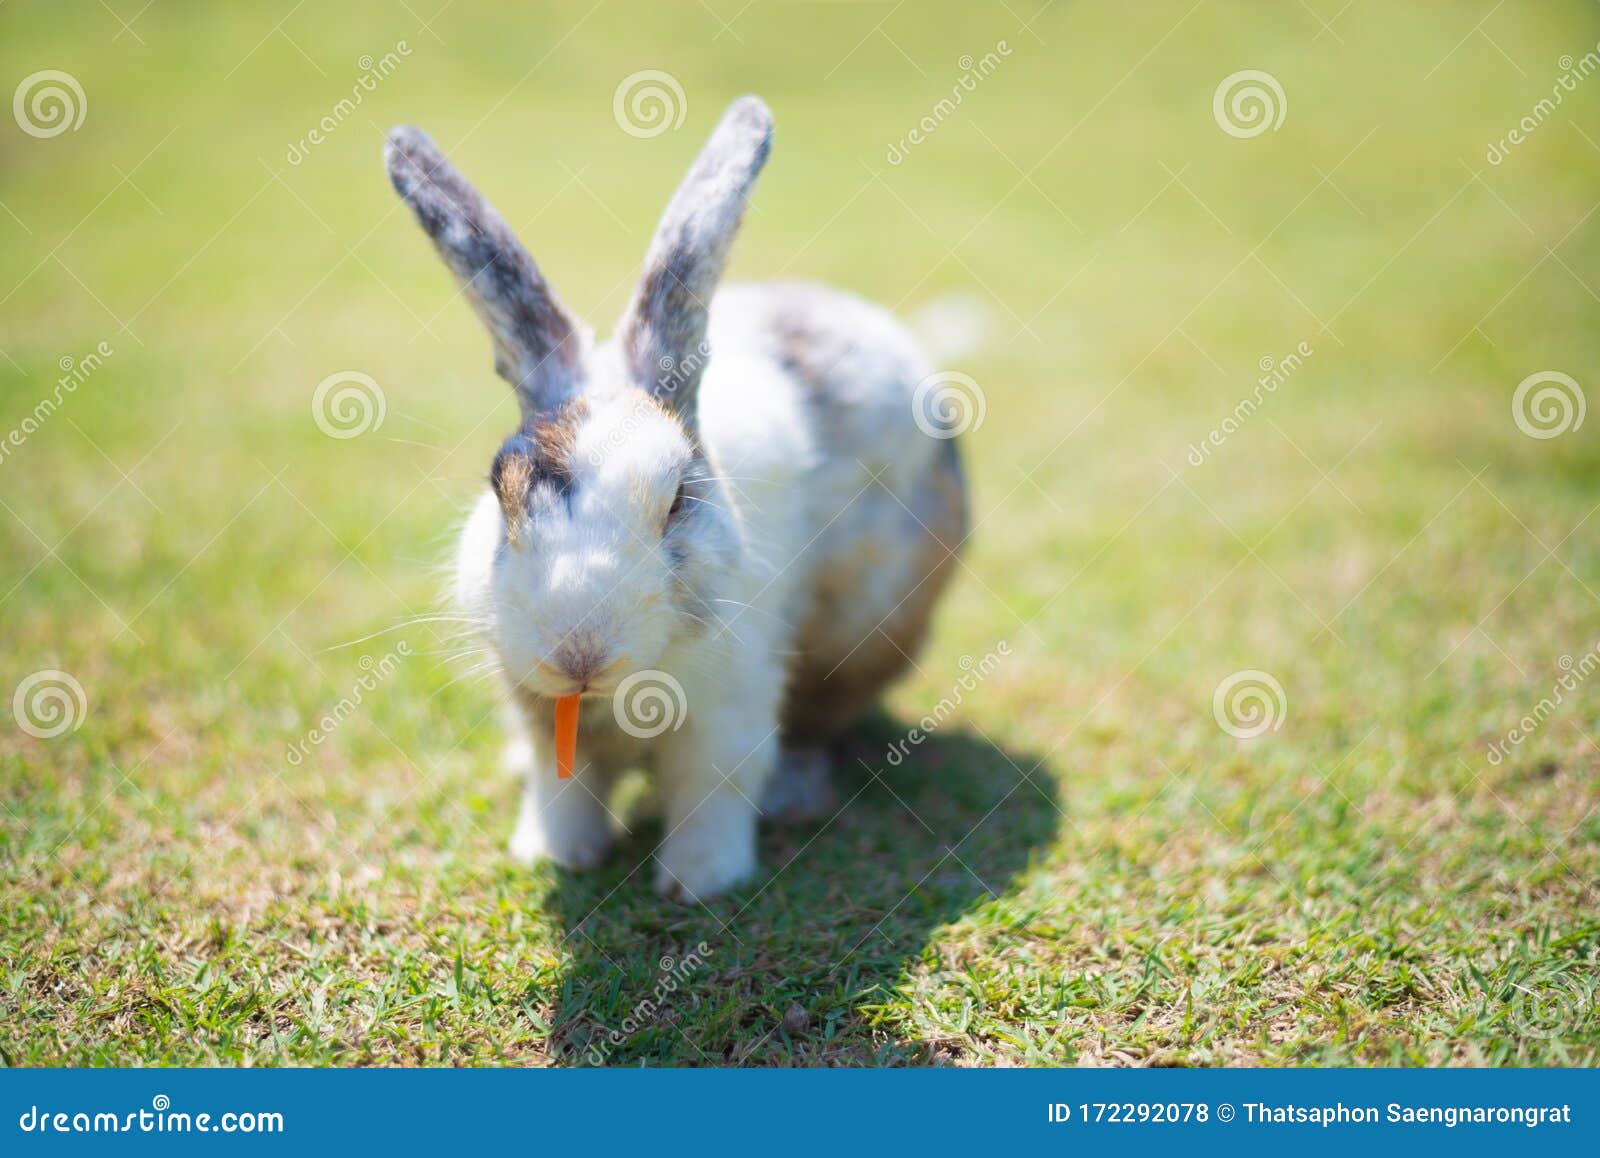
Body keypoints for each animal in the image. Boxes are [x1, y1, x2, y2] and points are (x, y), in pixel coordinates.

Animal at [384, 96, 968, 901]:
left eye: (677, 500)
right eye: (502, 492)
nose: (579, 650)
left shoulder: (728, 711)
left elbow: (709, 793)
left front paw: (698, 883)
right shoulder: (539, 710)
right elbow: (564, 789)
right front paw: (554, 856)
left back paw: (794, 794)